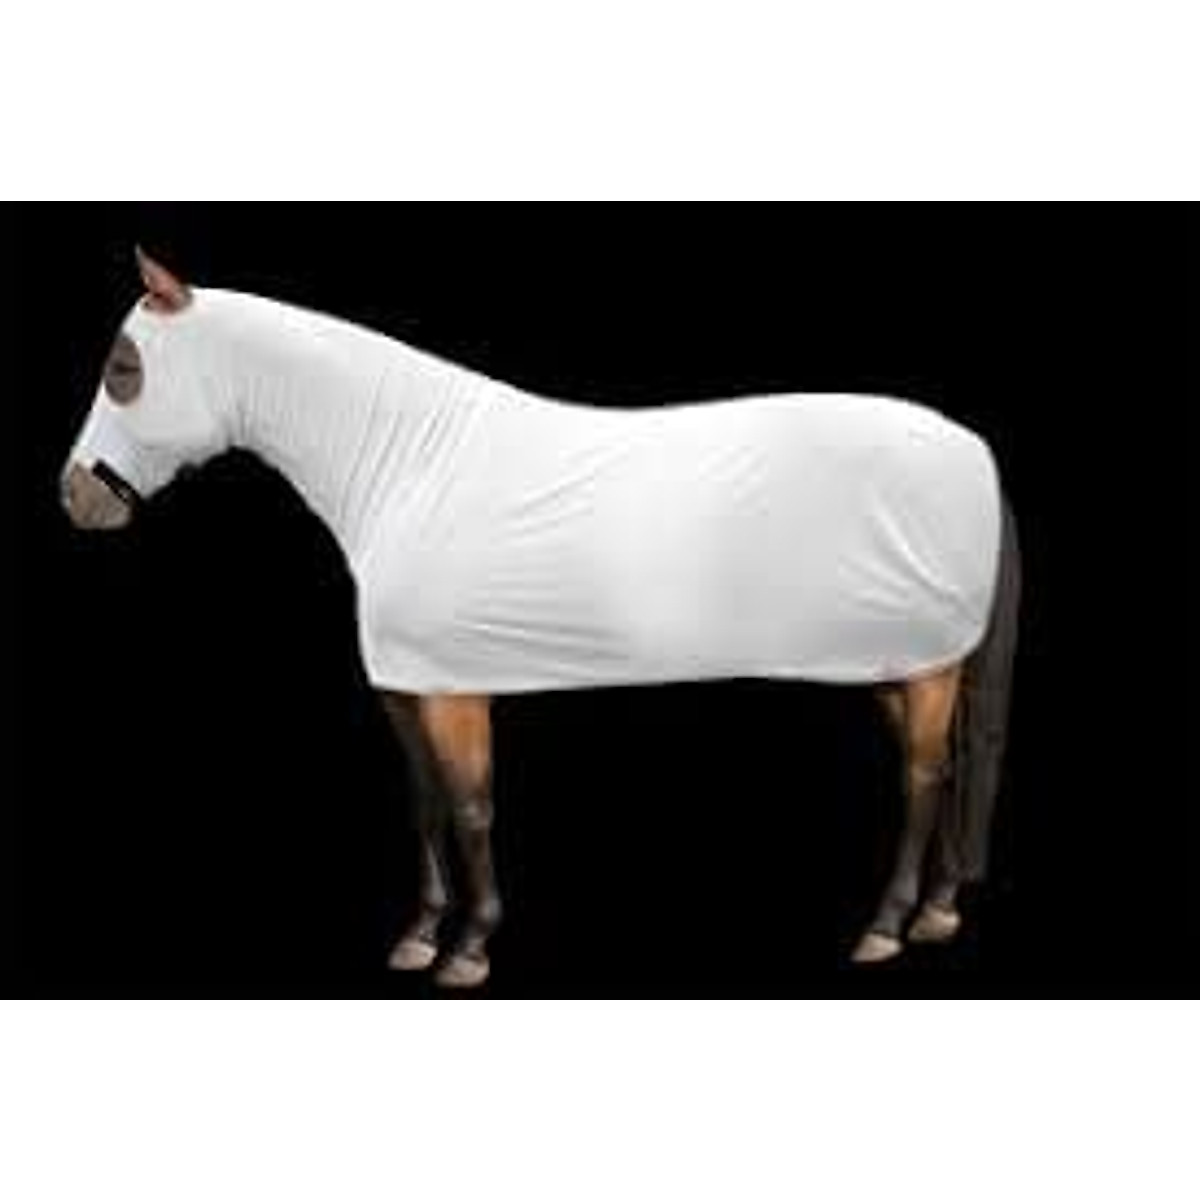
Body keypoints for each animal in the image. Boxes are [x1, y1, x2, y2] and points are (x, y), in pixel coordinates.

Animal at [61, 249, 1022, 989]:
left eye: (124, 369)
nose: (77, 499)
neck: (411, 468)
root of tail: (975, 451)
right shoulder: (408, 688)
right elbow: (426, 805)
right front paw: (421, 936)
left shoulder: (456, 693)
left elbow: (472, 806)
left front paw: (471, 949)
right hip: (895, 665)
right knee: (941, 771)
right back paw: (936, 912)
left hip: (923, 664)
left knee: (925, 778)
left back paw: (888, 926)